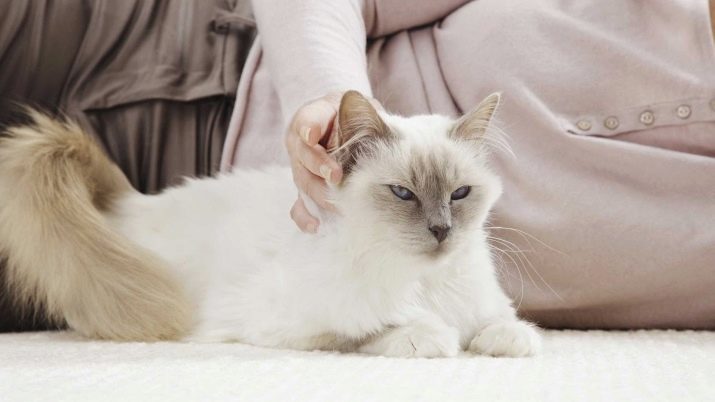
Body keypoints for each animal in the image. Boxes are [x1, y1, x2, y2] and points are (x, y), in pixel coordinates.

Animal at [0, 92, 540, 358]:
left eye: (459, 194)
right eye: (403, 193)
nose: (441, 230)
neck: (423, 281)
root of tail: (131, 202)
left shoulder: (482, 305)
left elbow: (500, 324)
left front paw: (507, 341)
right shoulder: (287, 324)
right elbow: (373, 328)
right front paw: (431, 337)